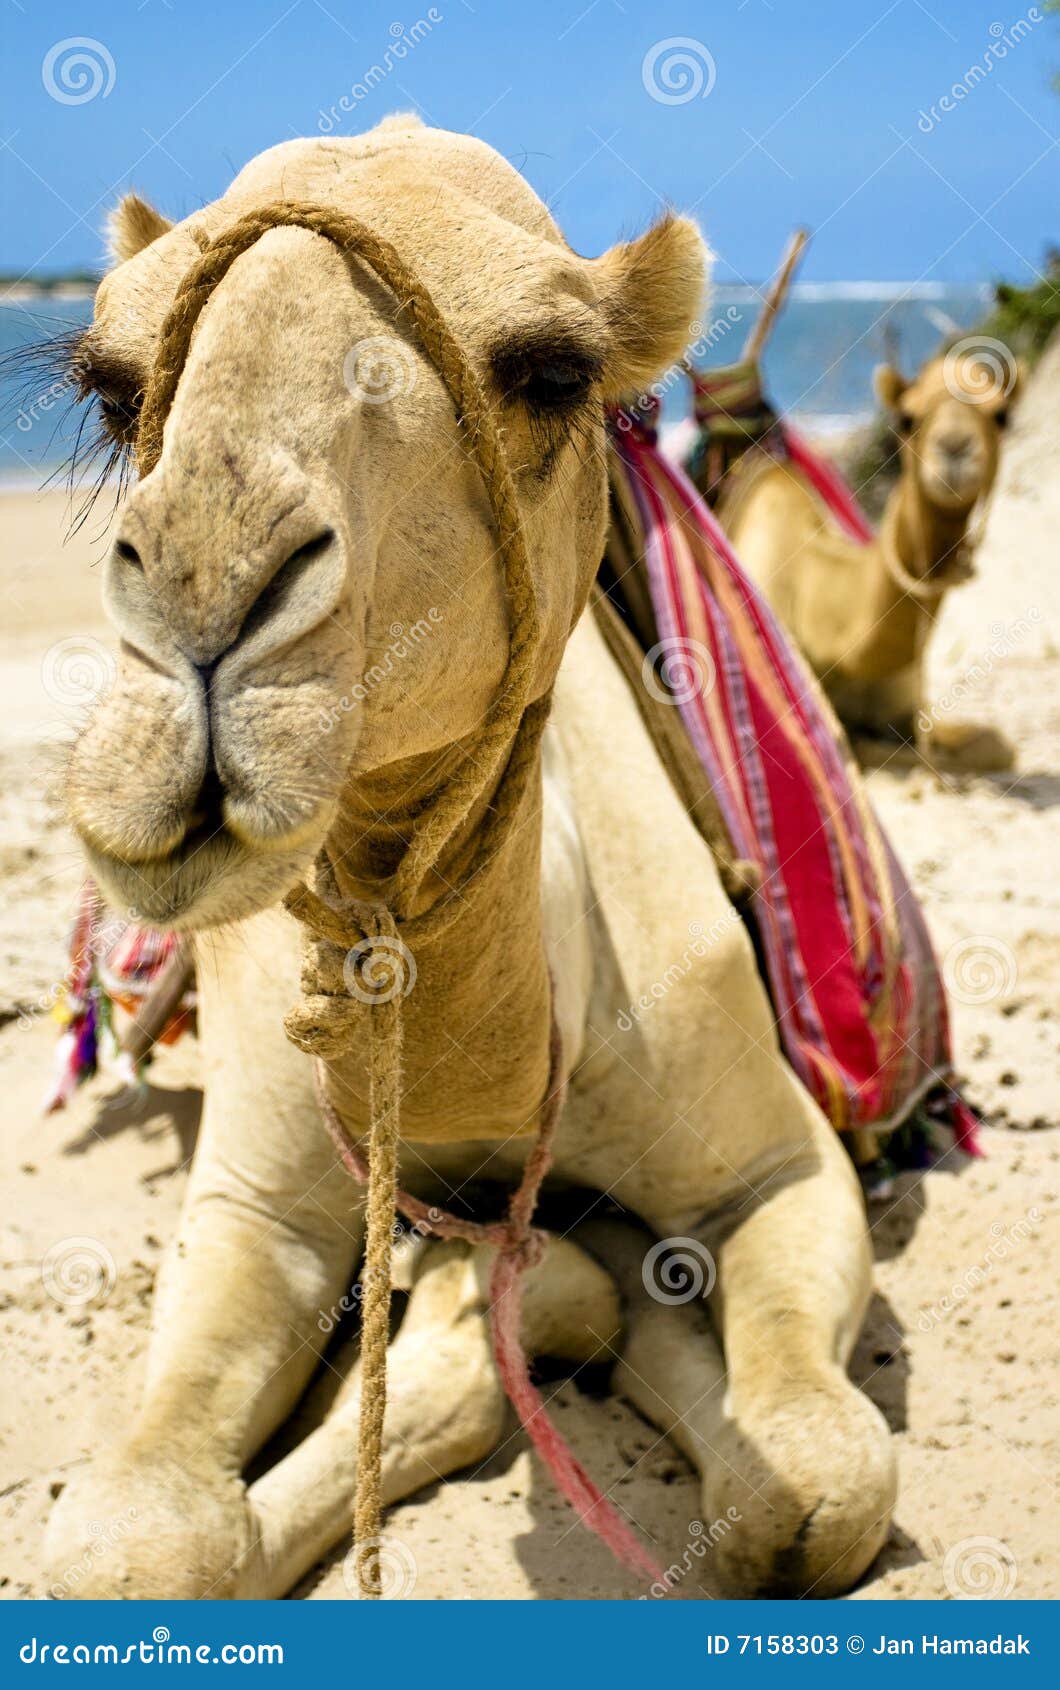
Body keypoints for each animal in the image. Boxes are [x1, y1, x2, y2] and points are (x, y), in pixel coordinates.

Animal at [42, 116, 896, 1600]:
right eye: (111, 385)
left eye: (552, 372)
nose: (205, 599)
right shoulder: (253, 1202)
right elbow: (134, 1542)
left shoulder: (782, 1160)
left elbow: (809, 1485)